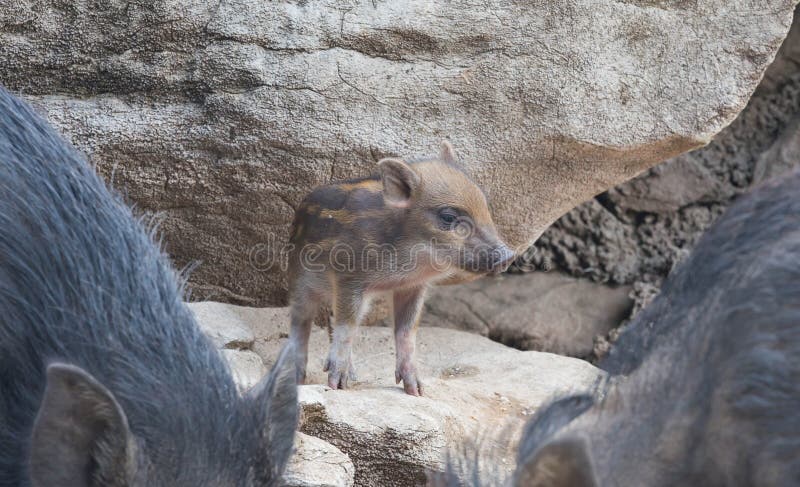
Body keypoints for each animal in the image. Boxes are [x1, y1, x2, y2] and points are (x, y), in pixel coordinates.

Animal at [287, 142, 515, 395]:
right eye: (448, 217)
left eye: (484, 205)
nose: (508, 256)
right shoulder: (349, 278)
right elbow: (347, 328)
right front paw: (337, 385)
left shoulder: (413, 287)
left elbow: (407, 332)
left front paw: (417, 390)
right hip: (299, 280)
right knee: (300, 324)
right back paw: (297, 378)